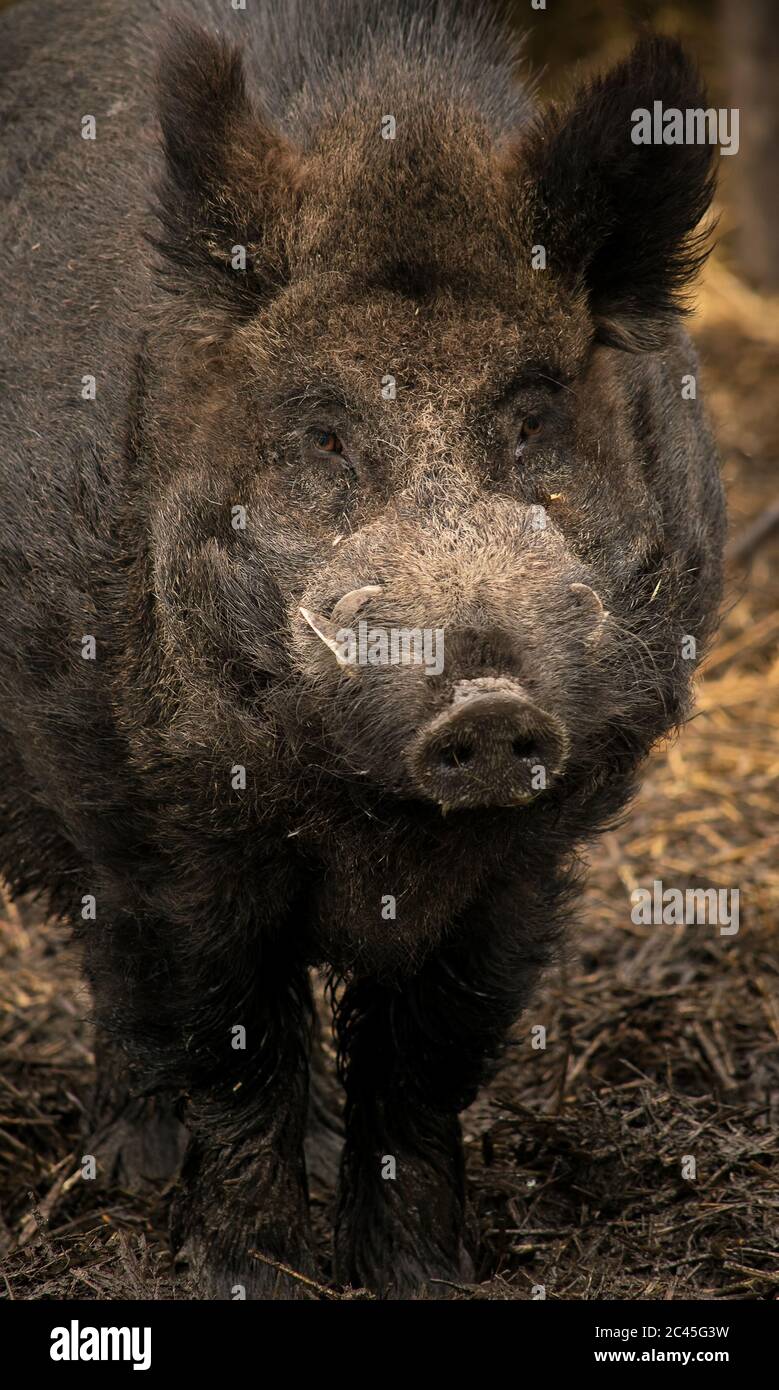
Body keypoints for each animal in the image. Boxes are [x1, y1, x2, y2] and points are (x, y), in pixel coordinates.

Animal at [0, 0, 725, 1298]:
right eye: (324, 433)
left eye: (531, 420)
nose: (485, 706)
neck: (375, 824)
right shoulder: (173, 818)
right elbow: (230, 1032)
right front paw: (245, 1270)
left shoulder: (528, 852)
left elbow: (431, 1050)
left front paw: (420, 1277)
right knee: (116, 955)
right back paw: (130, 1168)